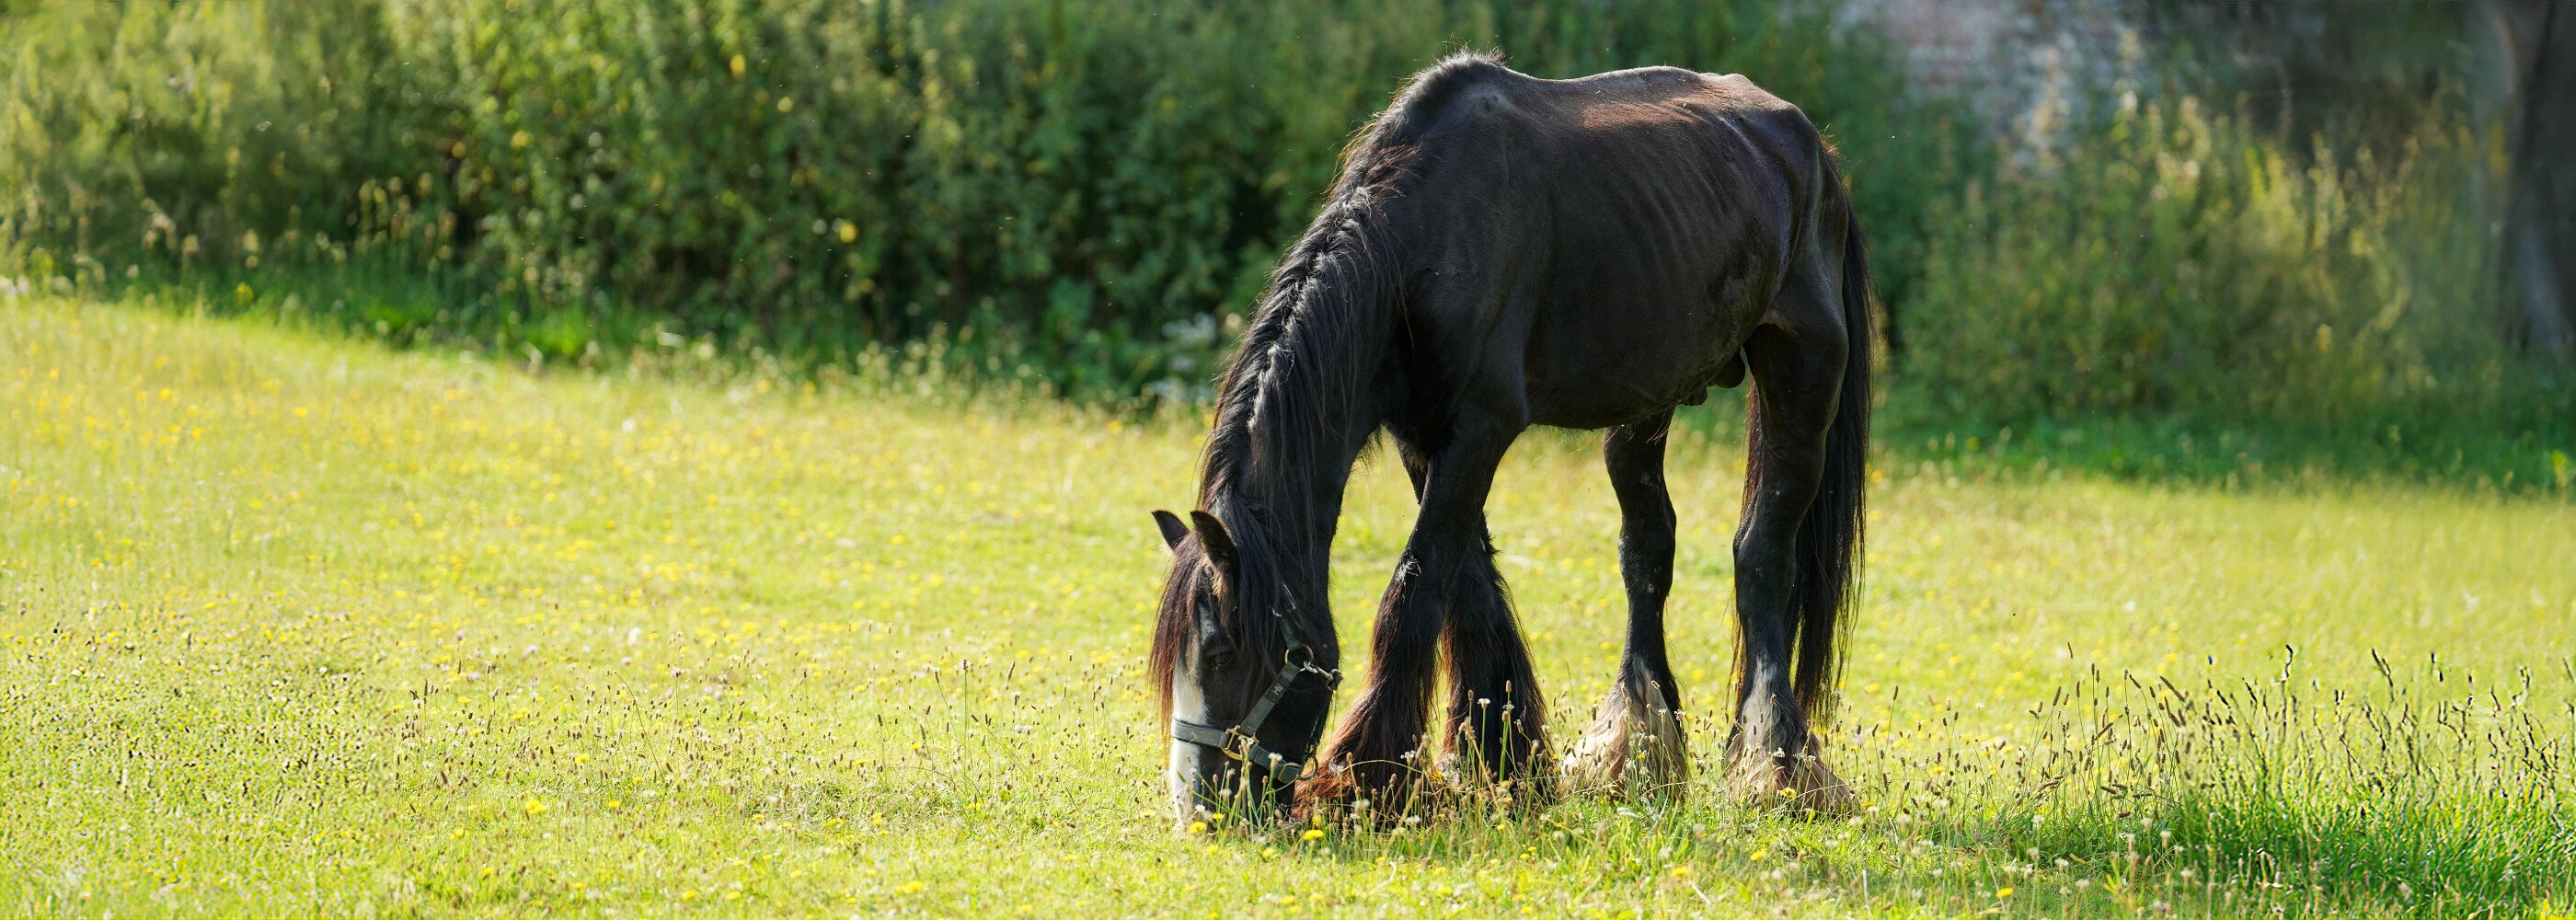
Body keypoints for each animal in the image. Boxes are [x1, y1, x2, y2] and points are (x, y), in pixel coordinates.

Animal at [1148, 52, 1872, 823]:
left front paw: (1364, 779)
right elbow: (1469, 586)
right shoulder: (1421, 436)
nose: (1199, 810)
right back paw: (1638, 756)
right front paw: (1502, 761)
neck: (1422, 240)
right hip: (1647, 403)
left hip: (1803, 376)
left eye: (1222, 653)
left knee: (1760, 557)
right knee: (1647, 555)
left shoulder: (1480, 429)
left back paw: (1777, 767)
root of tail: (1811, 149)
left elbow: (1416, 588)